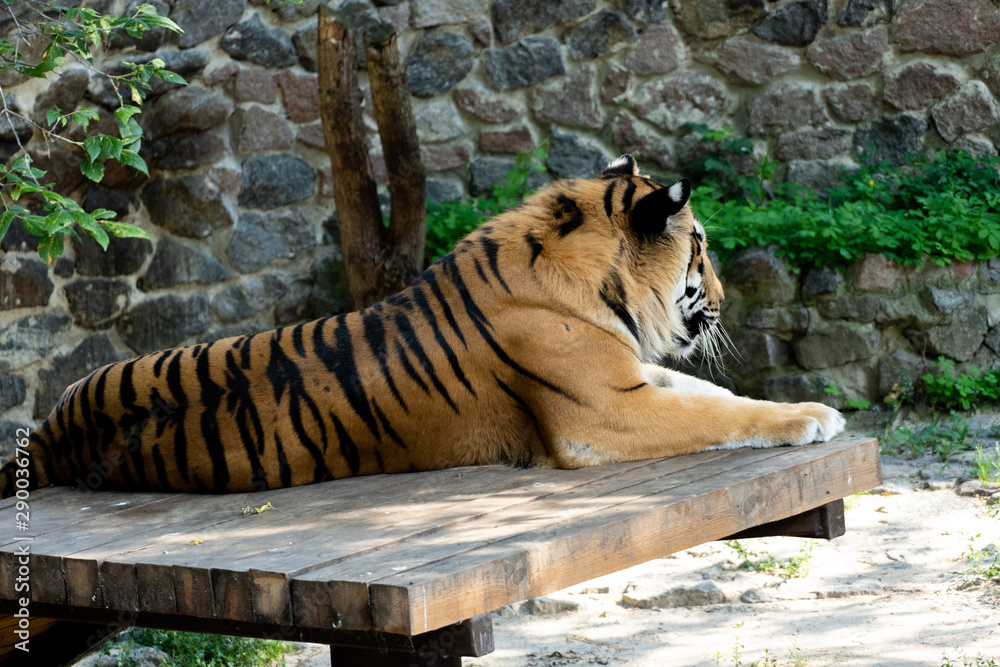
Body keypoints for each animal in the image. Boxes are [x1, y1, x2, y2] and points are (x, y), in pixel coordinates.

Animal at [0, 154, 844, 499]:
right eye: (700, 247)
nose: (727, 298)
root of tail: (49, 428)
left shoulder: (630, 375)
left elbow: (714, 396)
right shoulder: (606, 411)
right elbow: (716, 411)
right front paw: (814, 415)